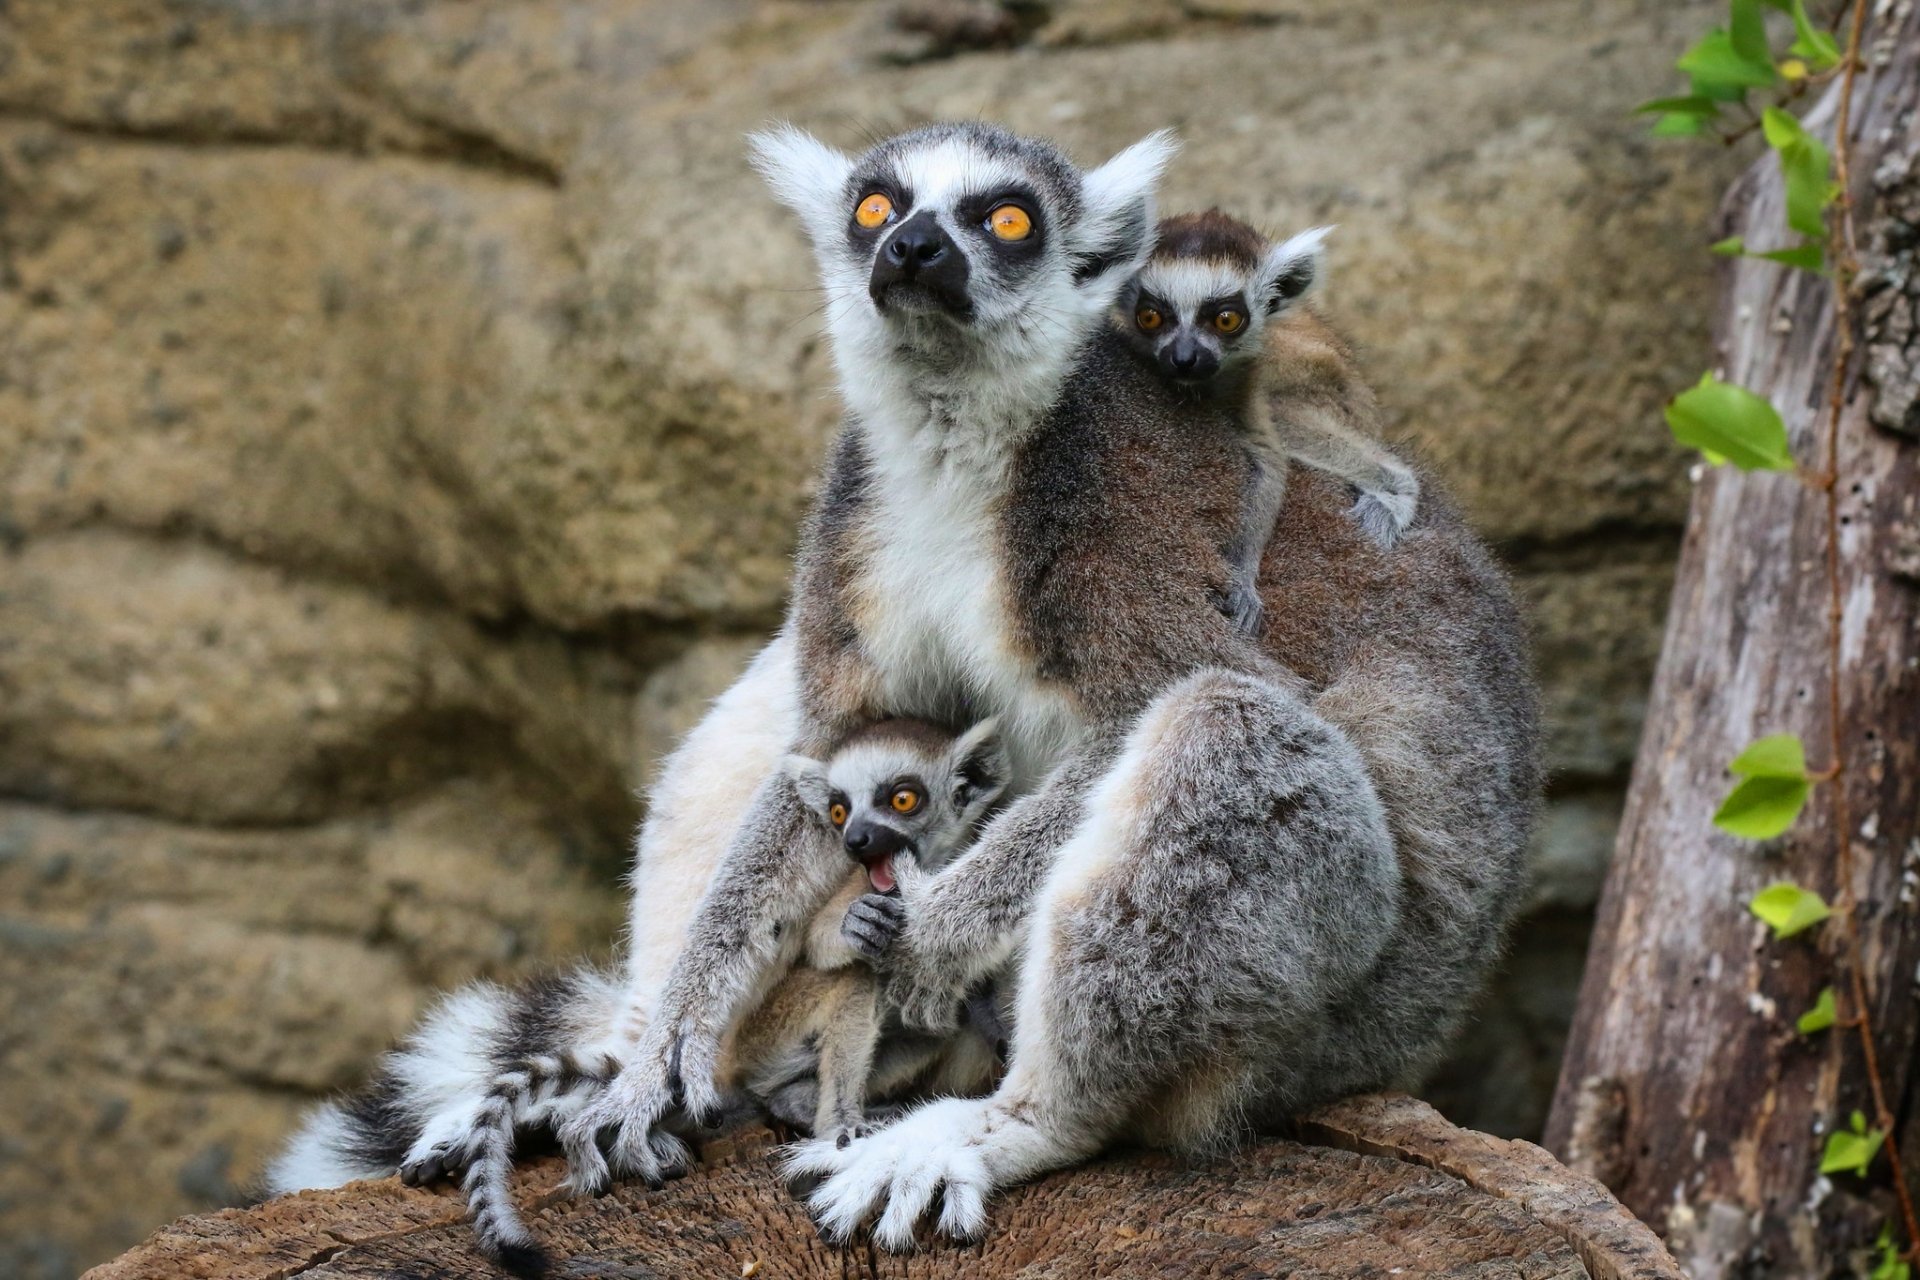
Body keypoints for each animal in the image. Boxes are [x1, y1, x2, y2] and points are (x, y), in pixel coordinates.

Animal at [263, 717, 1011, 1274]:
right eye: (838, 809)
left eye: (903, 798)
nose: (856, 839)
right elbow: (823, 941)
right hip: (770, 1027)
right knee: (857, 981)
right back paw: (831, 1115)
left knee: (935, 1014)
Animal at [1116, 211, 1421, 633]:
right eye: (1150, 316)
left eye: (1226, 320)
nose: (1184, 359)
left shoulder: (1248, 375)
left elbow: (1267, 461)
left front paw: (1242, 581)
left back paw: (1396, 489)